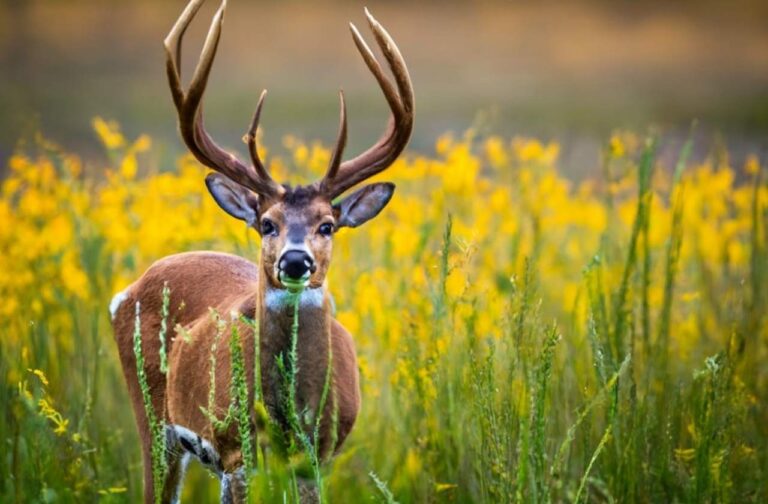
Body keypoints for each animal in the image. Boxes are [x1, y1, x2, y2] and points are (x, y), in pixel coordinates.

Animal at [109, 0, 413, 502]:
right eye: (267, 223)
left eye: (328, 225)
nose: (295, 260)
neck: (290, 421)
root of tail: (128, 290)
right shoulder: (238, 453)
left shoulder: (318, 458)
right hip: (154, 418)